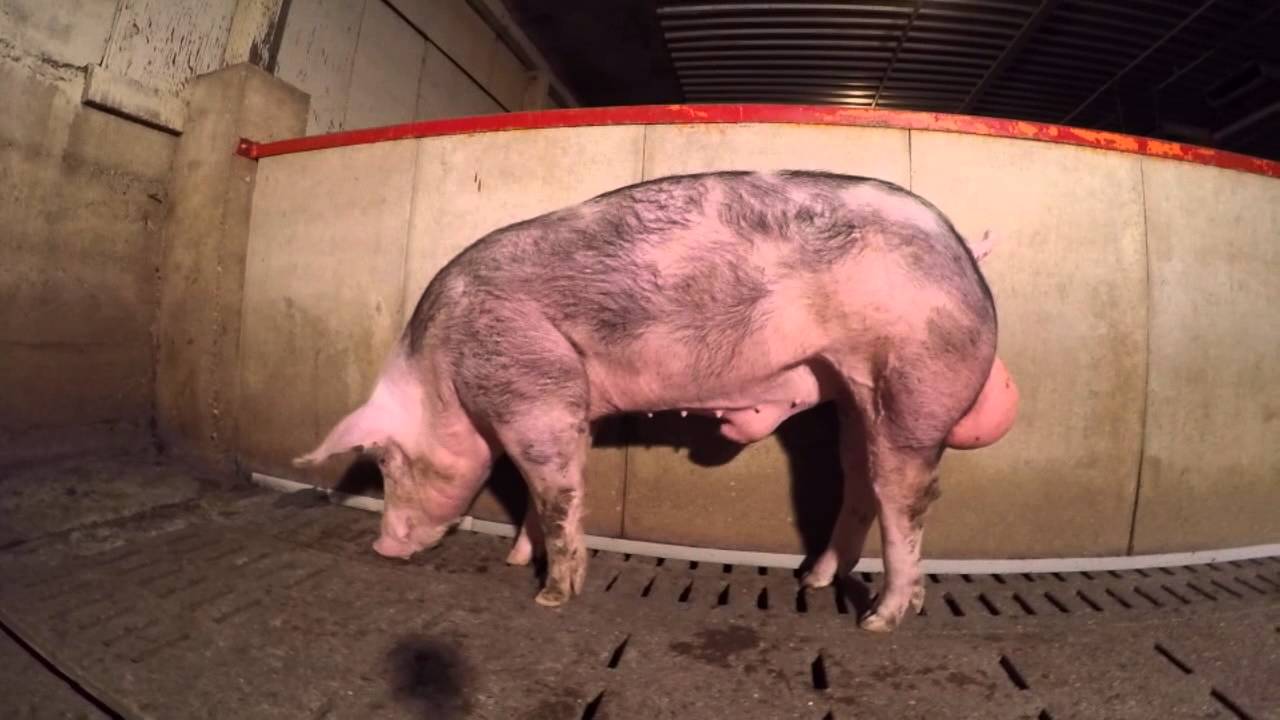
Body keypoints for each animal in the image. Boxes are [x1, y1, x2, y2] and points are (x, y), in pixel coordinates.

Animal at [295, 170, 1019, 632]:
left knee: (909, 500)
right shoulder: (563, 405)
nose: (382, 547)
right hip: (851, 394)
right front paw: (514, 559)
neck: (444, 372)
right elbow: (541, 493)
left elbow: (554, 495)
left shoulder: (534, 383)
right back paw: (812, 583)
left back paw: (878, 620)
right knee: (859, 485)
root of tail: (967, 254)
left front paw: (550, 599)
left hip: (918, 375)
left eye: (386, 462)